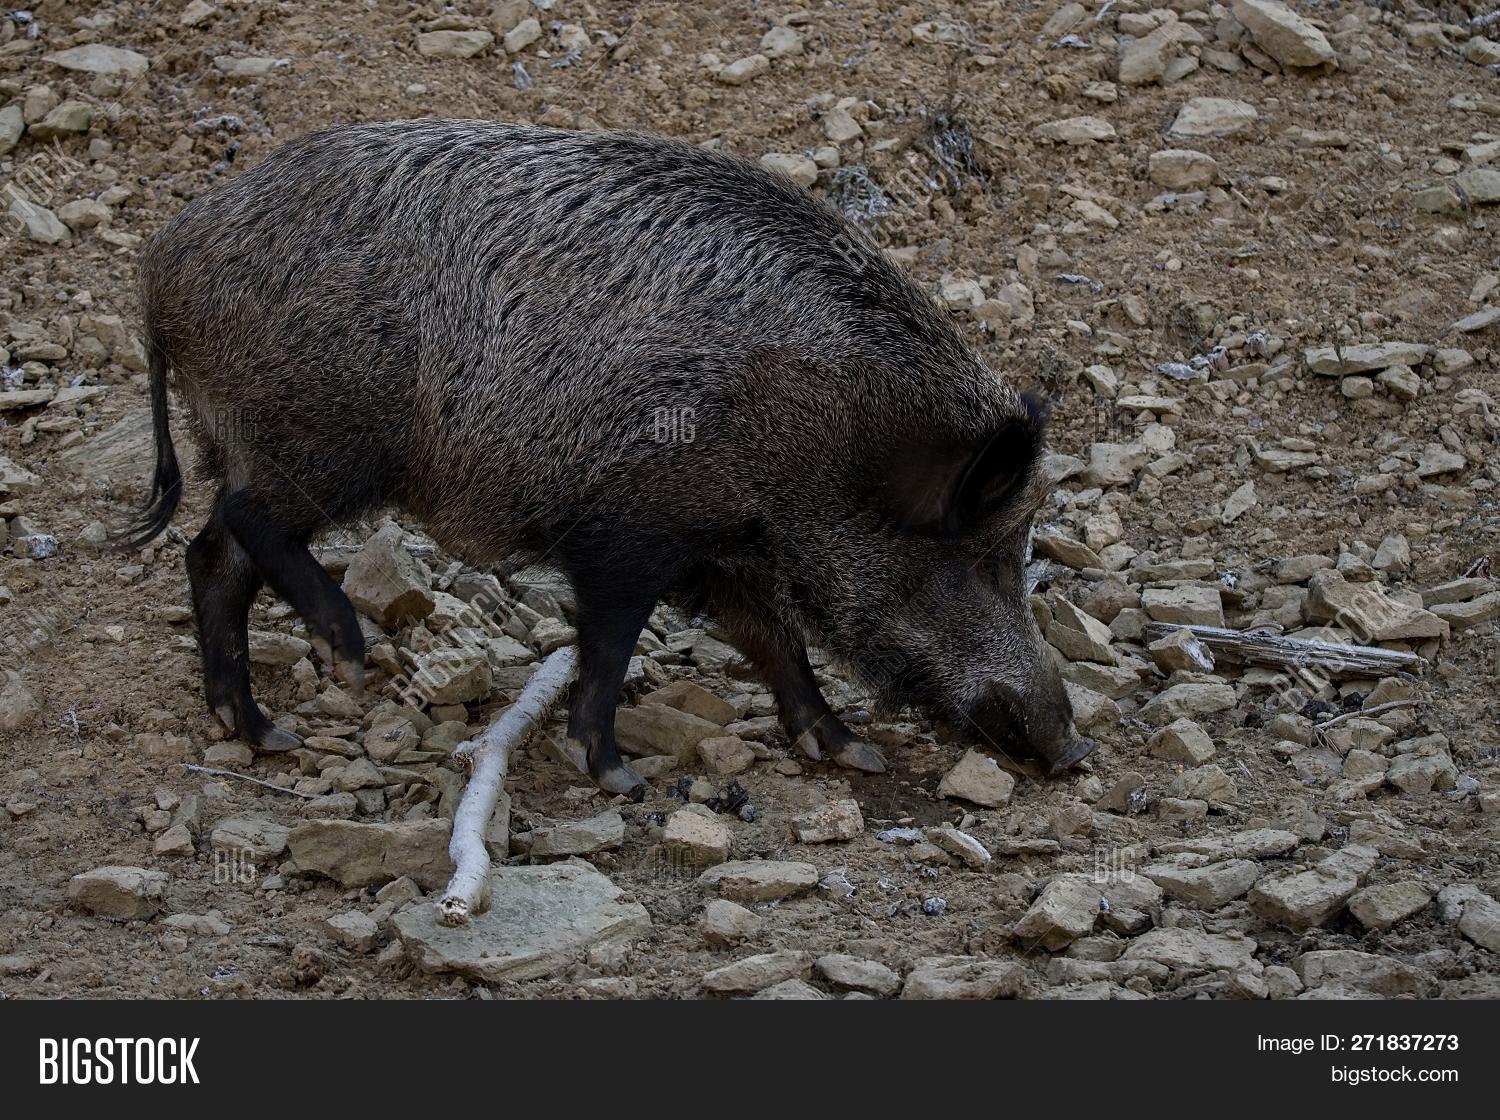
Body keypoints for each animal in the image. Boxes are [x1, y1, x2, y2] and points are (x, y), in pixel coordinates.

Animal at [133, 119, 1095, 797]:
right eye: (982, 560)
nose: (1074, 748)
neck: (828, 438)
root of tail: (163, 257)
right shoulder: (629, 528)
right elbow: (612, 645)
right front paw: (618, 776)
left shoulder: (723, 550)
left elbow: (777, 644)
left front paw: (853, 754)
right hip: (323, 438)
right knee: (249, 525)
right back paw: (348, 653)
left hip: (254, 439)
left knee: (211, 554)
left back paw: (261, 733)